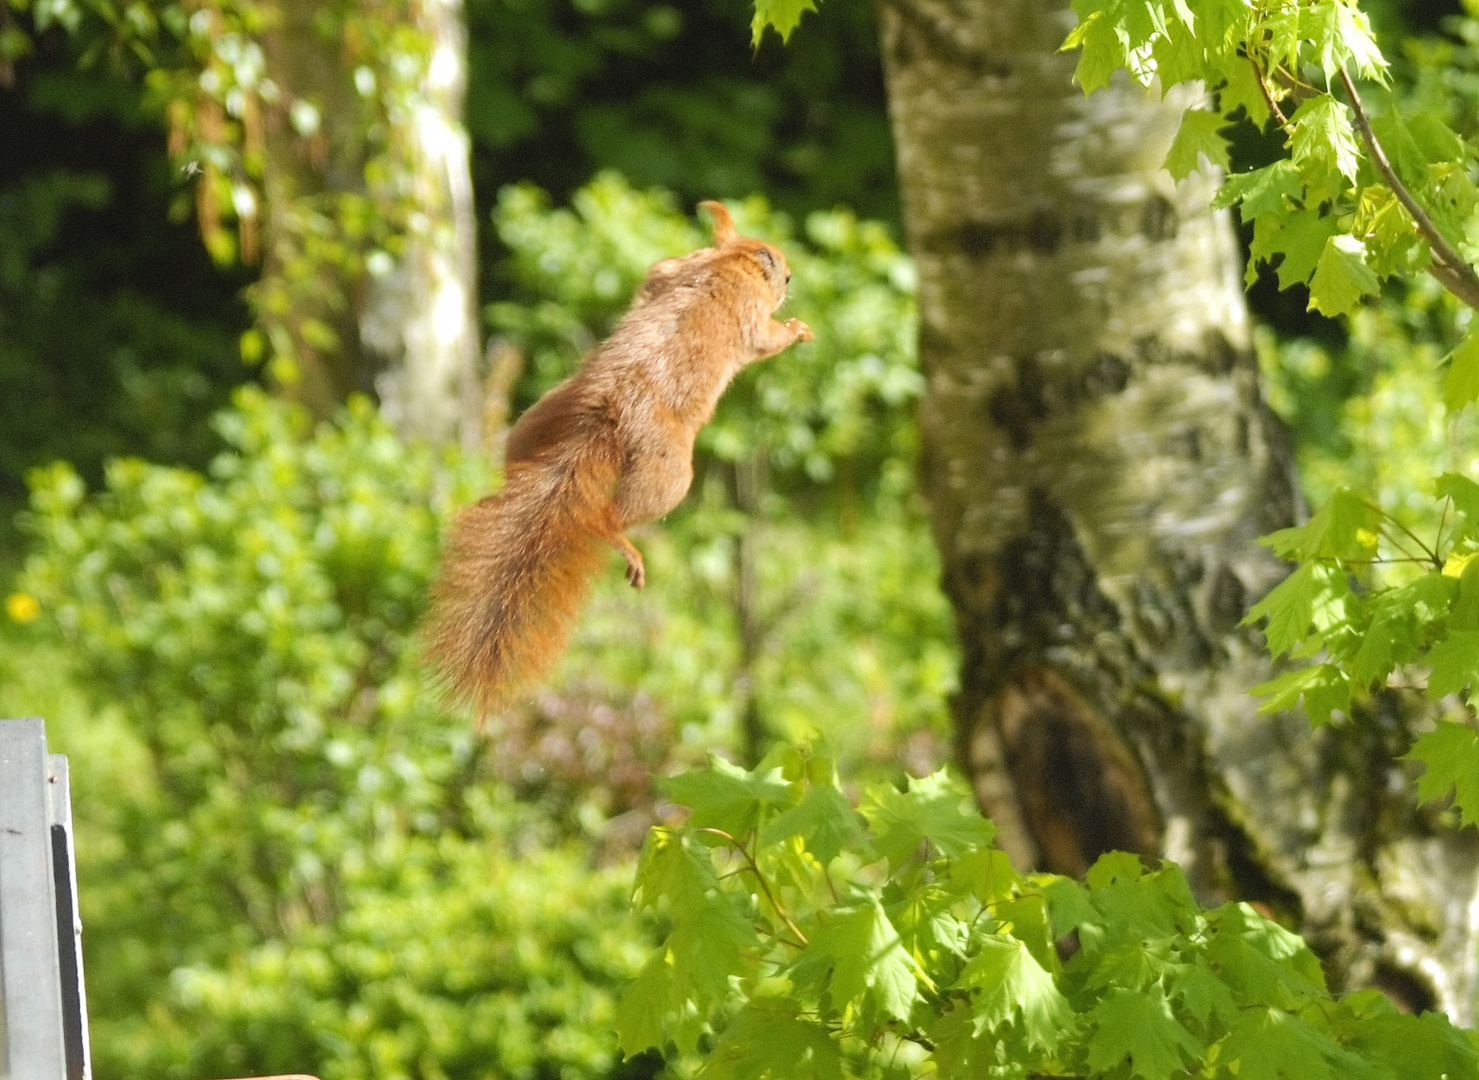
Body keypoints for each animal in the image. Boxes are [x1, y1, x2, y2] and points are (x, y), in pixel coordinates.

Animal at [424, 201, 813, 721]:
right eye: (784, 276)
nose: (789, 282)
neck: (726, 261)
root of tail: (606, 419)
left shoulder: (670, 269)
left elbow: (653, 276)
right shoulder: (750, 314)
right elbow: (767, 340)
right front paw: (797, 330)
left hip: (534, 420)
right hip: (669, 472)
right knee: (609, 516)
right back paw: (624, 544)